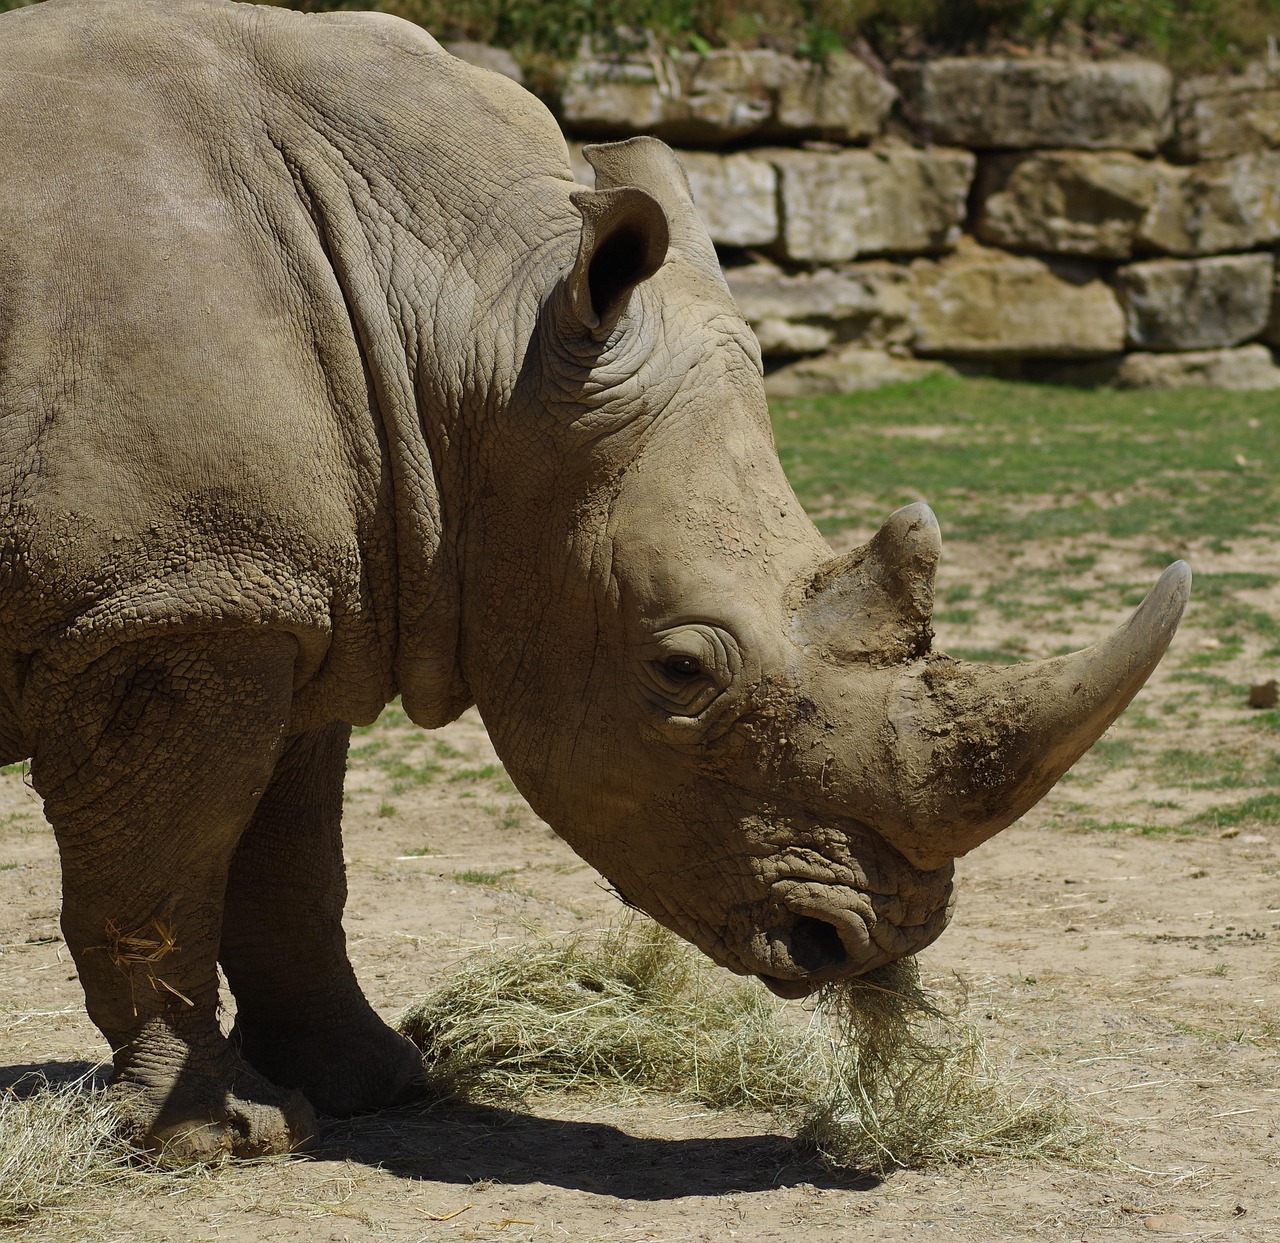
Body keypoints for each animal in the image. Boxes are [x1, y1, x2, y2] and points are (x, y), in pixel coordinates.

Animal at [0, 0, 1189, 1162]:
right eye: (681, 670)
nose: (867, 942)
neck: (467, 334)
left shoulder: (291, 592)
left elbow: (292, 860)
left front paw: (377, 1085)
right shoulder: (169, 603)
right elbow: (163, 869)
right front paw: (219, 1136)